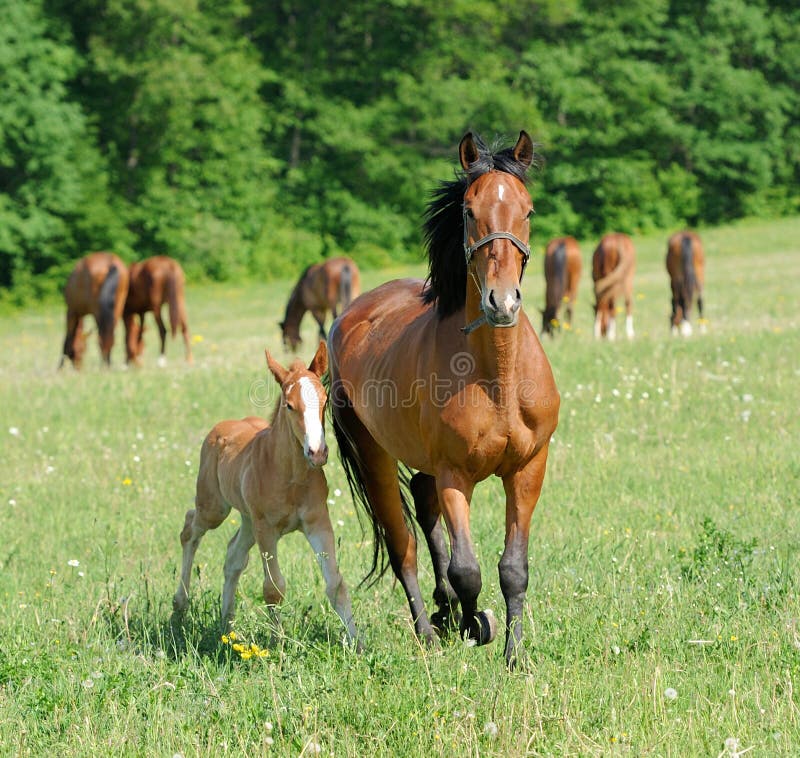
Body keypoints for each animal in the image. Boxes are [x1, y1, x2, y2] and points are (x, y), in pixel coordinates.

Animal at [172, 341, 358, 646]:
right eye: (290, 405)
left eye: (325, 400)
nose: (317, 452)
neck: (290, 476)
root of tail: (222, 427)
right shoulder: (266, 529)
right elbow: (273, 588)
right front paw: (277, 644)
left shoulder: (318, 522)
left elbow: (336, 583)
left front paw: (357, 643)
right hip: (216, 509)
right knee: (190, 528)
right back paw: (180, 606)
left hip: (248, 520)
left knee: (233, 556)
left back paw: (226, 625)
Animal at [328, 131, 559, 667]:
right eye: (469, 211)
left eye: (529, 210)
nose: (502, 302)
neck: (497, 377)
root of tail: (346, 318)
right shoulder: (457, 473)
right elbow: (467, 570)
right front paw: (475, 623)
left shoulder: (528, 468)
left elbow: (513, 568)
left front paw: (513, 654)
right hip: (373, 457)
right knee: (403, 546)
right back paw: (430, 630)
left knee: (423, 502)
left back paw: (444, 612)